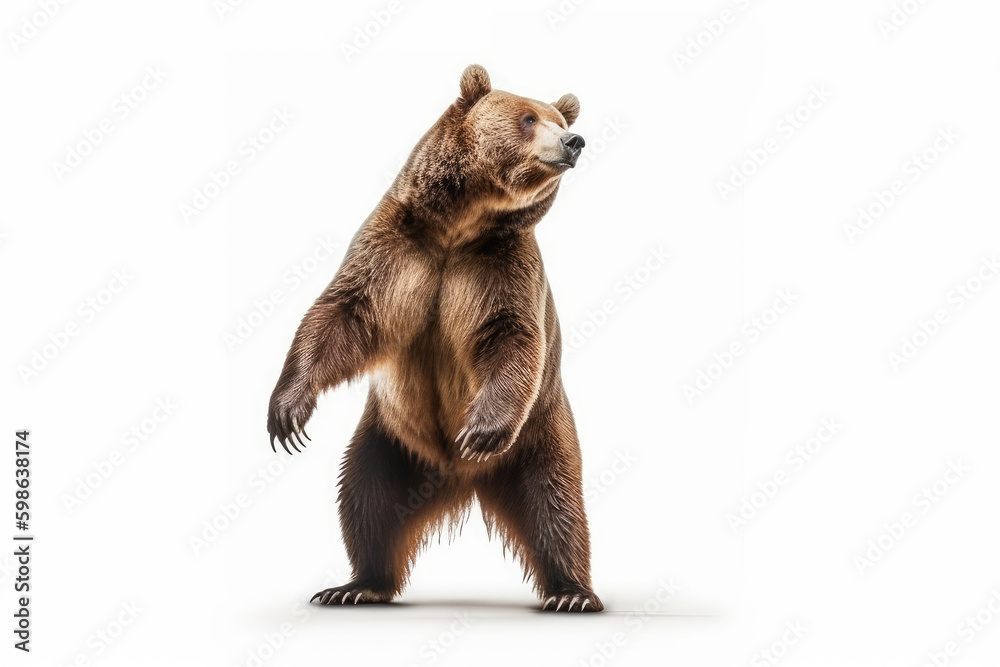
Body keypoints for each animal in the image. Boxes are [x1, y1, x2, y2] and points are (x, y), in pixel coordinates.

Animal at [267, 64, 602, 612]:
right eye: (529, 118)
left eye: (557, 117)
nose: (573, 141)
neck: (462, 224)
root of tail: (461, 479)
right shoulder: (398, 248)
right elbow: (344, 313)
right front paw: (289, 411)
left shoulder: (502, 267)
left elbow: (510, 336)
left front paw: (481, 429)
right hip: (388, 440)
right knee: (365, 499)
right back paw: (355, 585)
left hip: (540, 433)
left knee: (556, 503)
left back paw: (571, 593)